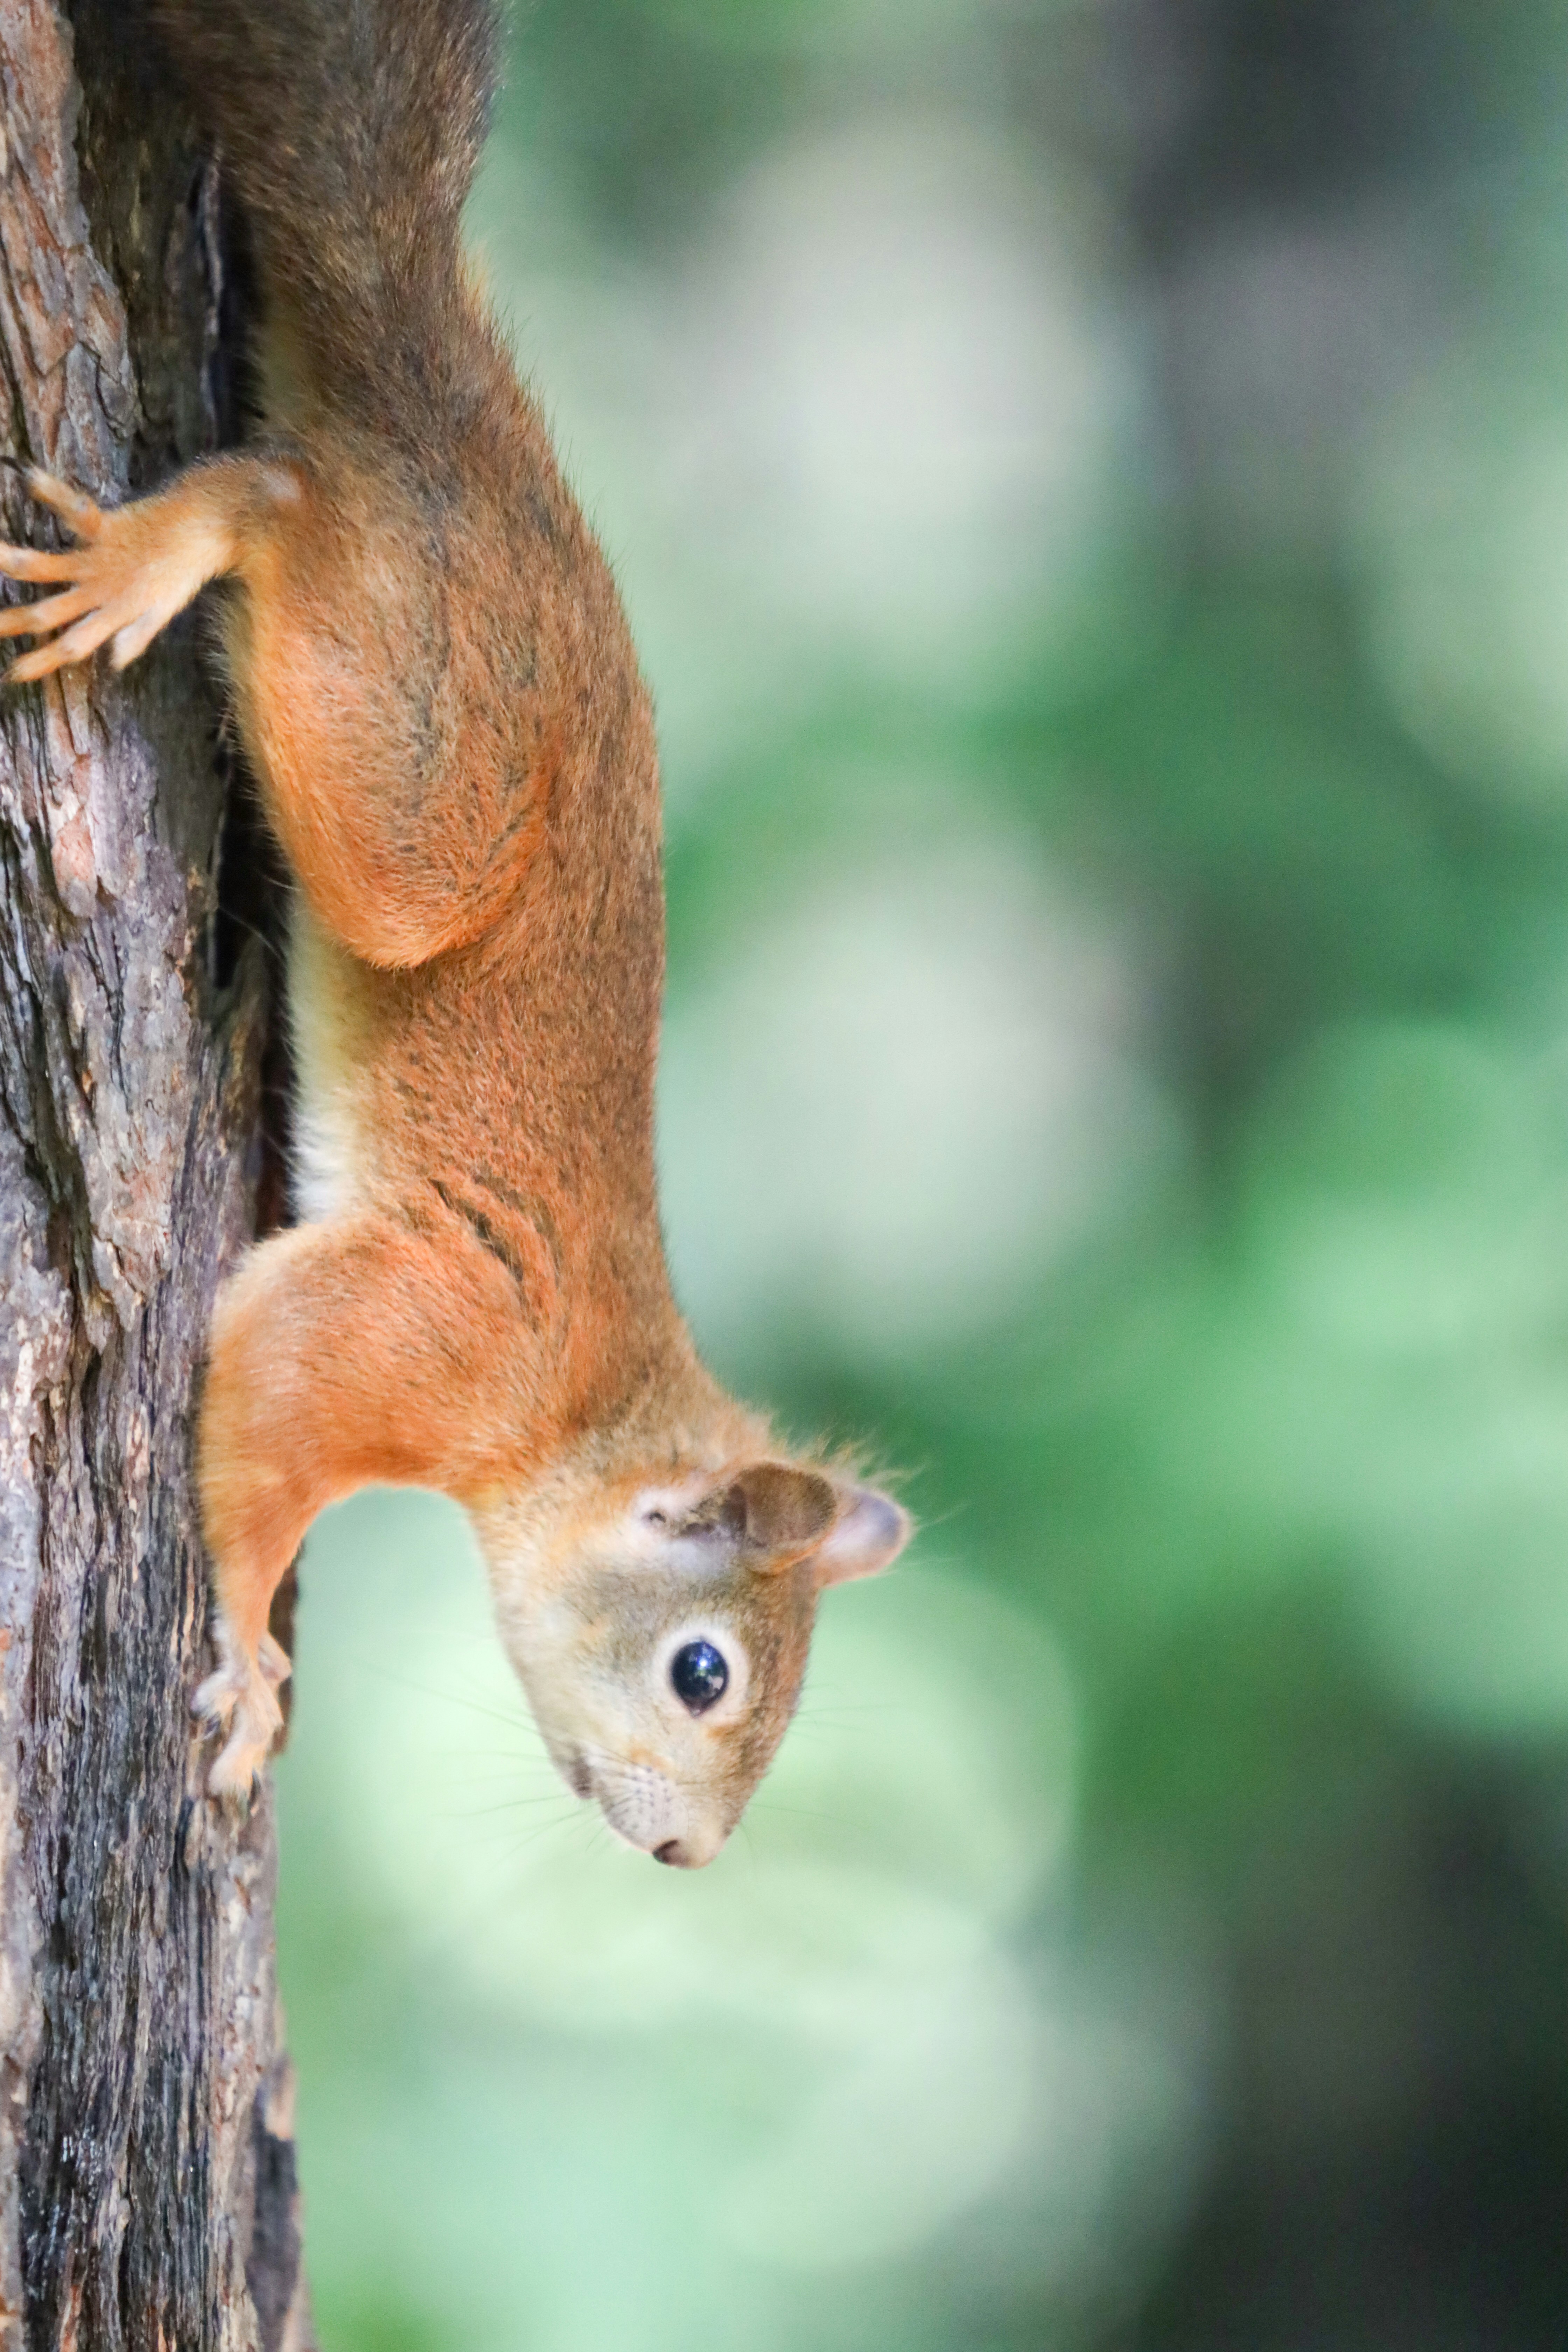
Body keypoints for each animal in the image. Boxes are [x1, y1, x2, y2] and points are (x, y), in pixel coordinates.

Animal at [0, 0, 909, 1865]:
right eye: (704, 1672)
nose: (688, 1857)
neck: (578, 1418)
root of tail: (462, 415)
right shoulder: (421, 1330)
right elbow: (267, 1421)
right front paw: (252, 1671)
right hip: (424, 766)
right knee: (283, 504)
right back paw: (164, 553)